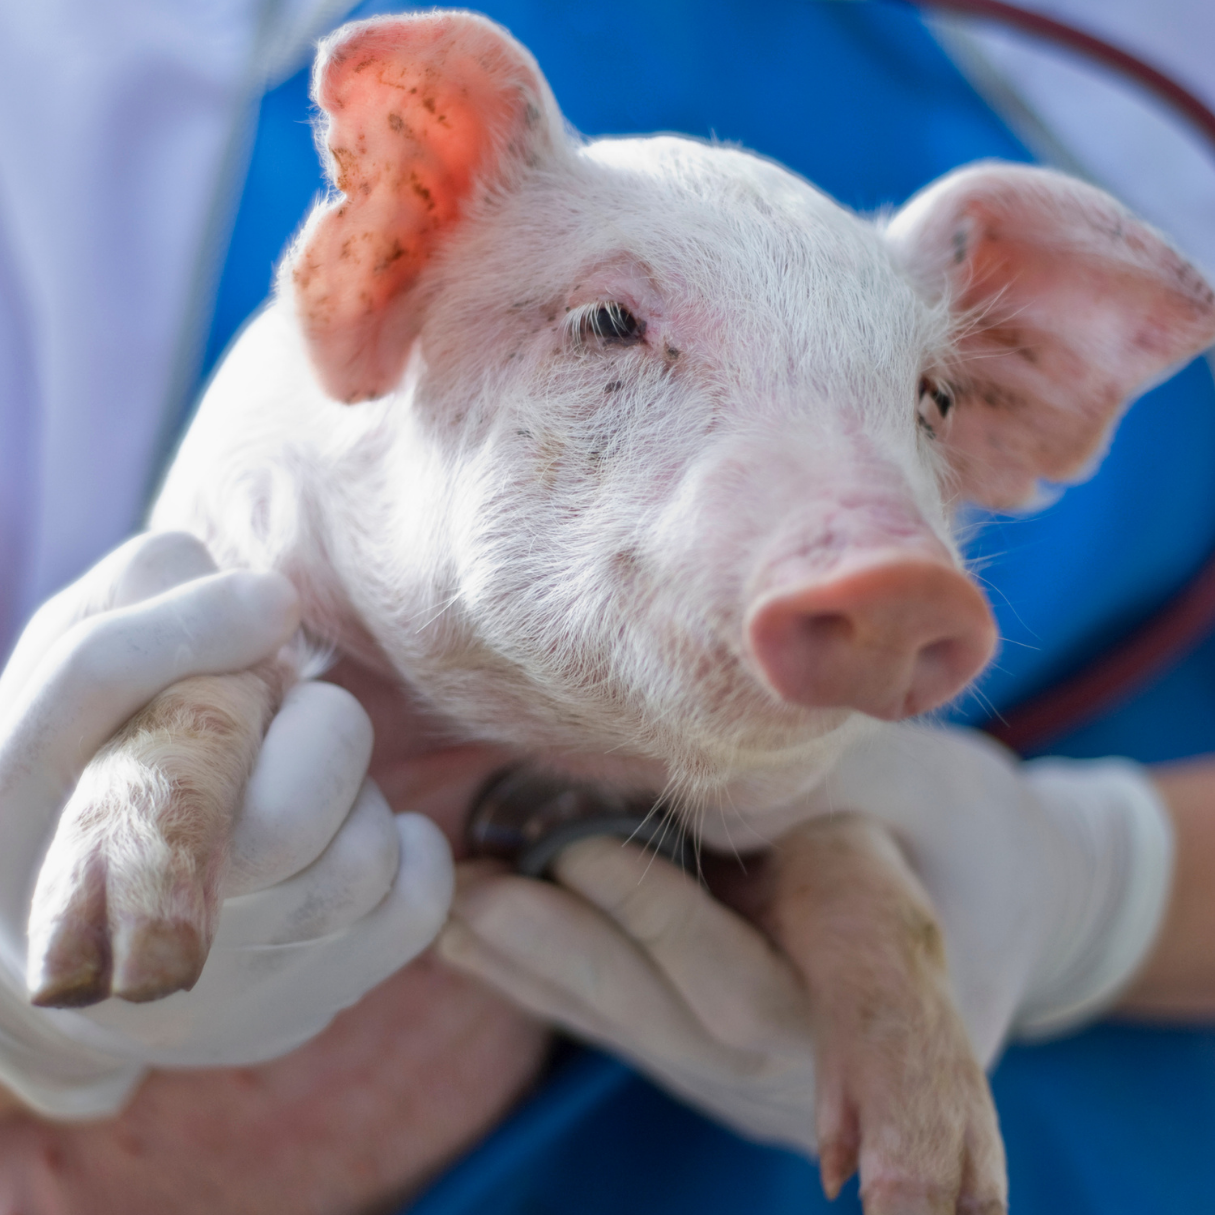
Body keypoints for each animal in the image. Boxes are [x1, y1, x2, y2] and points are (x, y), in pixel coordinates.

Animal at [22, 9, 1215, 1212]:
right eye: (607, 319)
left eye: (934, 399)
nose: (896, 576)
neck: (493, 753)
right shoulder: (232, 549)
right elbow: (198, 679)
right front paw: (102, 974)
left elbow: (860, 860)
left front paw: (942, 1182)